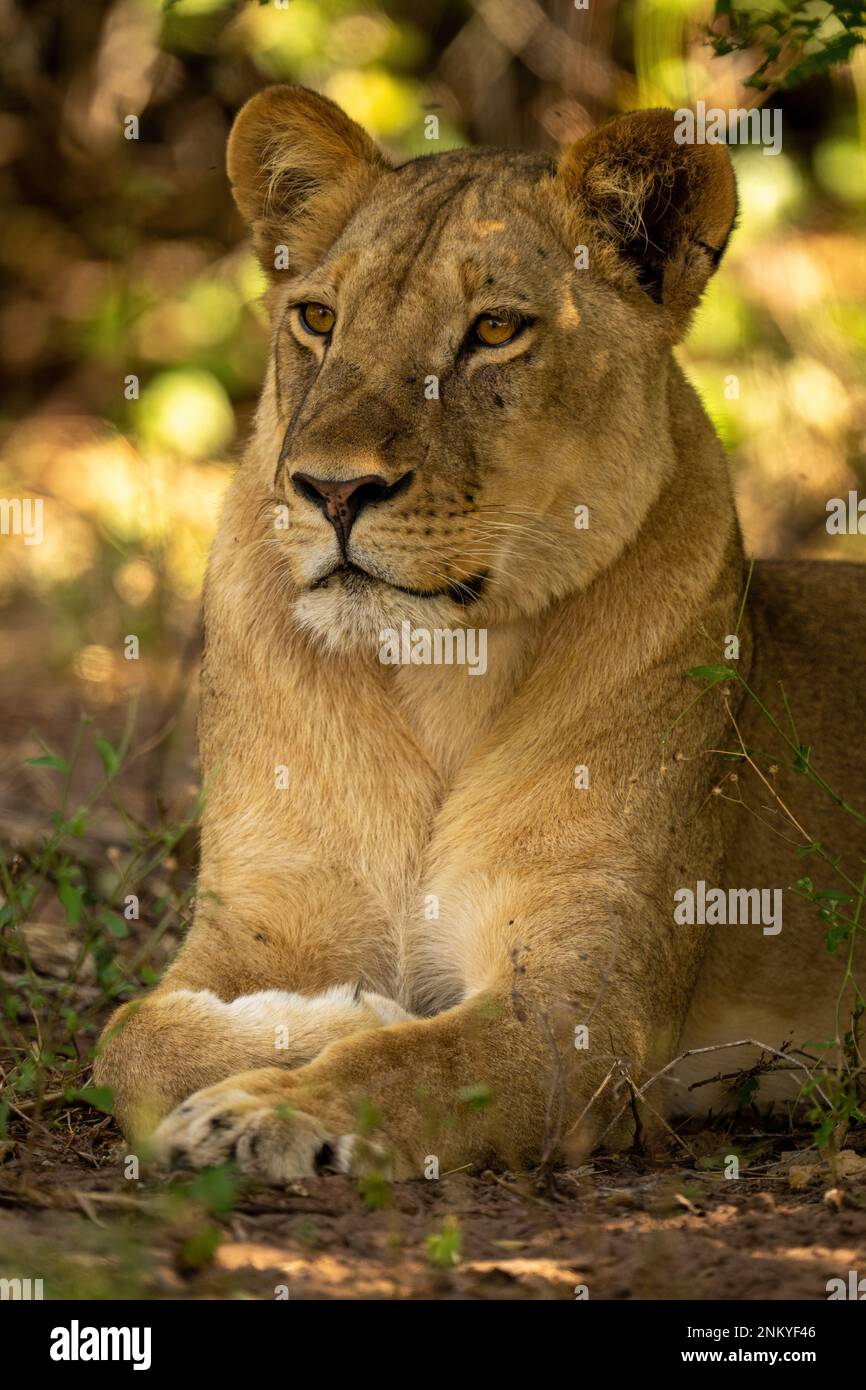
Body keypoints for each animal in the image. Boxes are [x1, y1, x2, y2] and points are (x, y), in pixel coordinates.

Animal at [94, 88, 865, 1180]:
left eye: (494, 328)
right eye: (318, 318)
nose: (331, 490)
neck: (442, 671)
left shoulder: (581, 1008)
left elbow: (414, 1064)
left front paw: (272, 1106)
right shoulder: (254, 921)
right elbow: (128, 1034)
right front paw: (324, 1018)